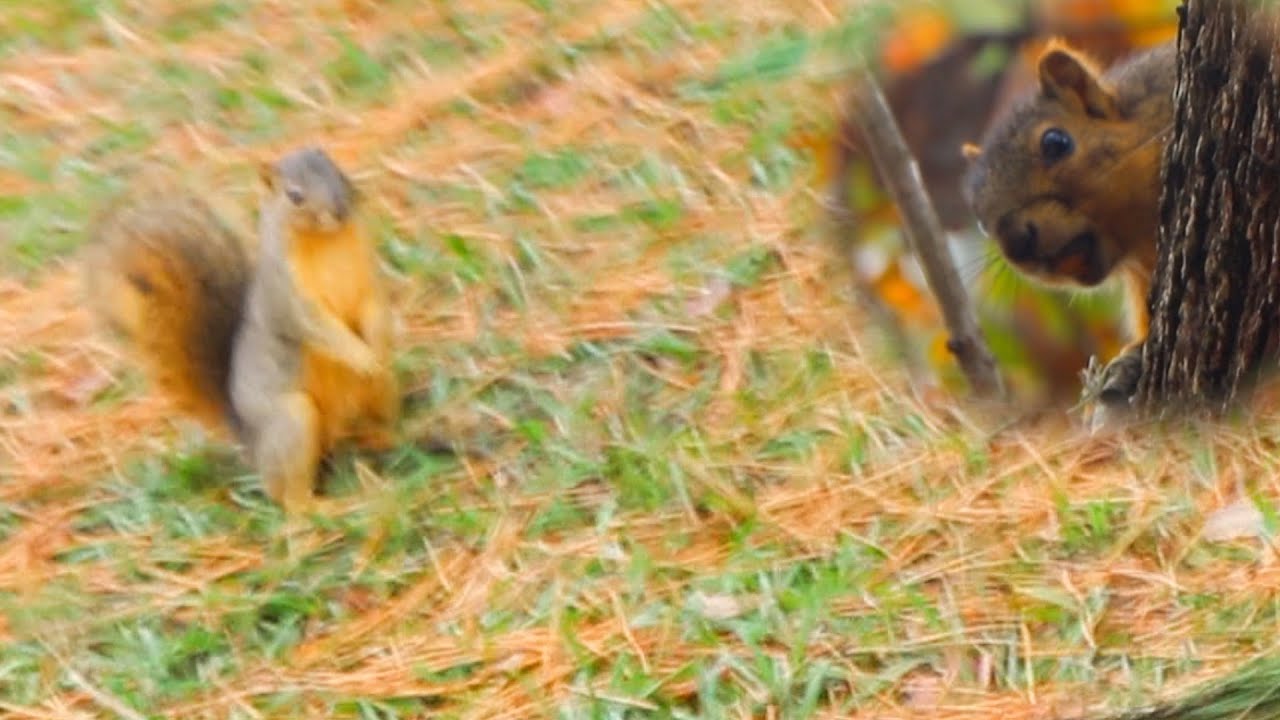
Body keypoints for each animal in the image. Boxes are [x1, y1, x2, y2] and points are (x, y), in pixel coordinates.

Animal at [84, 147, 400, 512]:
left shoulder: (367, 278)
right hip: (292, 420)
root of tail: (250, 447)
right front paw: (362, 357)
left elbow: (375, 308)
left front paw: (378, 346)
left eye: (339, 172)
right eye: (294, 196)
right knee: (287, 497)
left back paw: (383, 438)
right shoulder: (287, 298)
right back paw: (321, 505)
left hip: (382, 393)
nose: (339, 209)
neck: (326, 242)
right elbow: (318, 326)